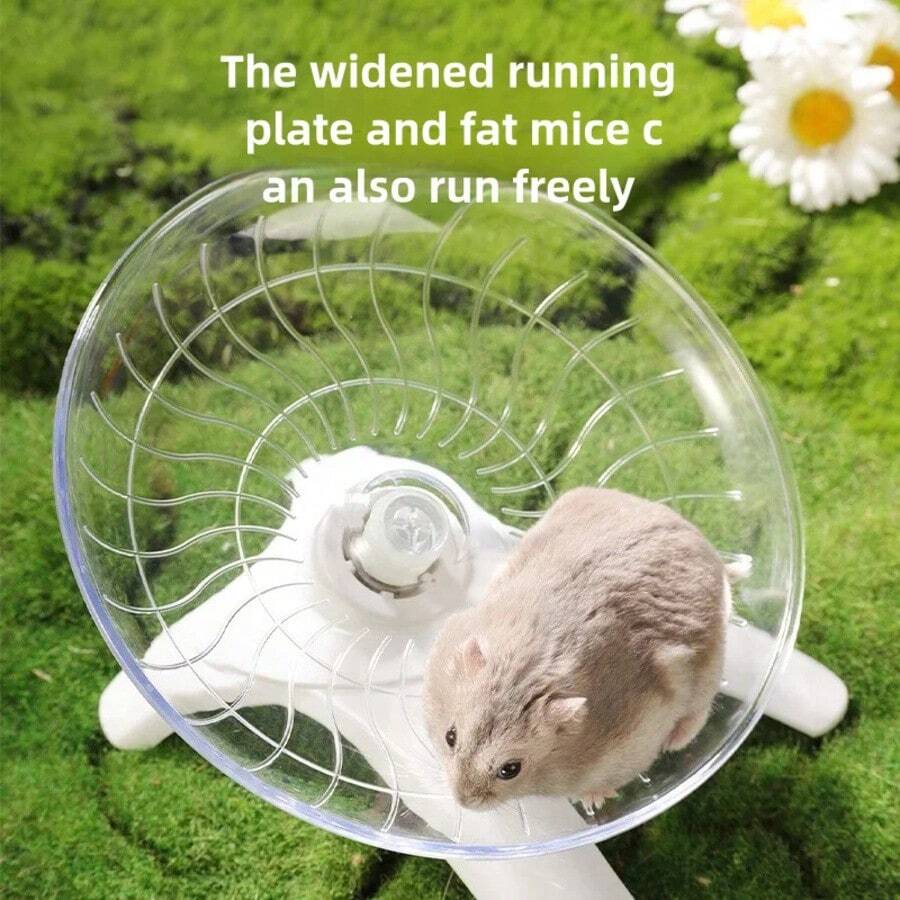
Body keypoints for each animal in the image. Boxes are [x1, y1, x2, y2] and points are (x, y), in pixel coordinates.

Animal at [423, 486, 734, 812]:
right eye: (450, 736)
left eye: (510, 769)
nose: (462, 802)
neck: (526, 674)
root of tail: (707, 547)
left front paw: (592, 802)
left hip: (708, 669)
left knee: (699, 712)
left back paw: (674, 742)